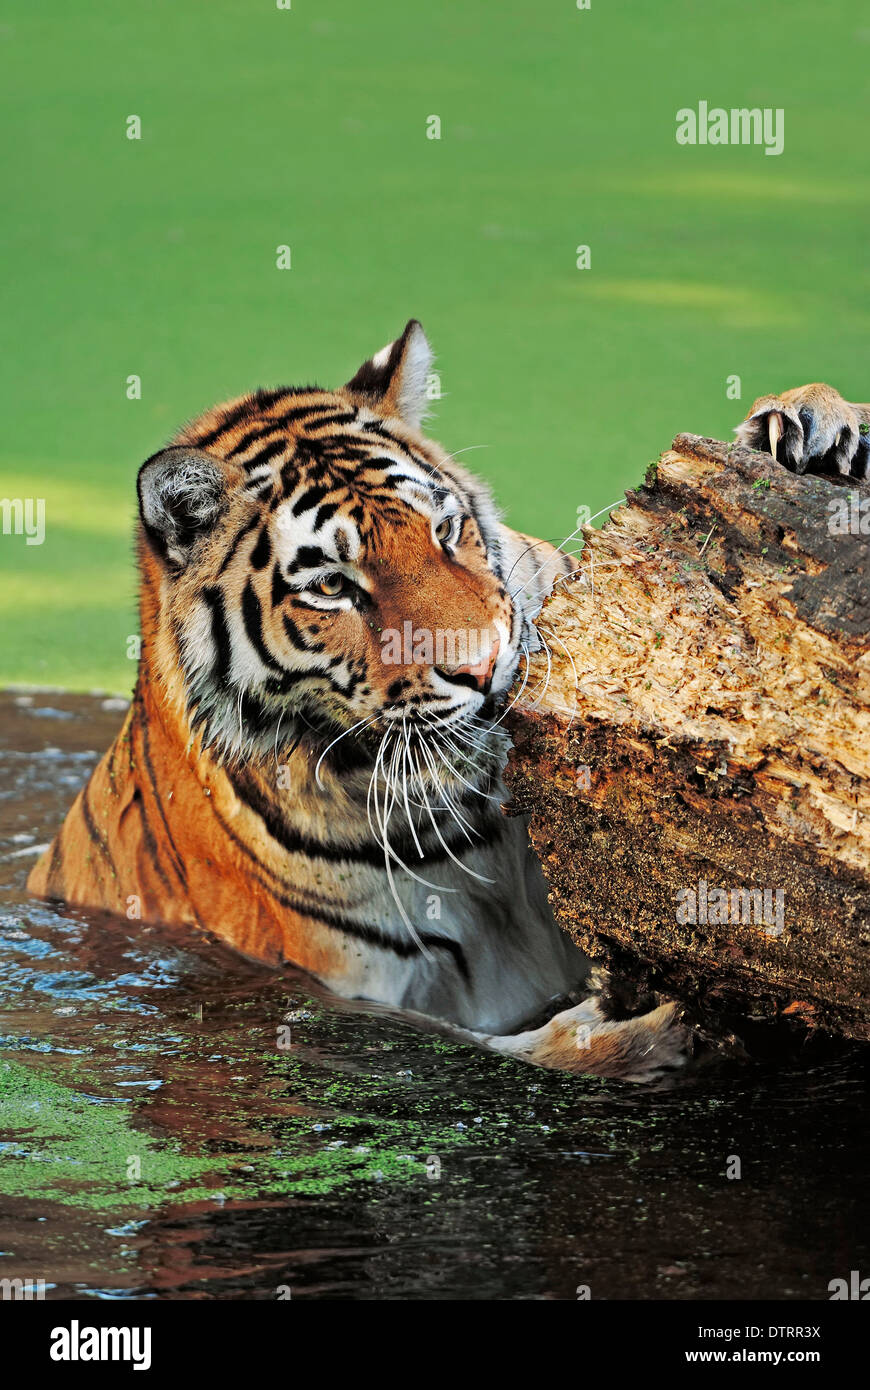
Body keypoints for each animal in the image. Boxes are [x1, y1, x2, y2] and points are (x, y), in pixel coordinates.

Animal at [28, 321, 860, 1081]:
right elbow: (468, 1046)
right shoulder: (351, 986)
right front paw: (636, 1037)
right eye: (331, 584)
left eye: (446, 528)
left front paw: (810, 421)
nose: (485, 669)